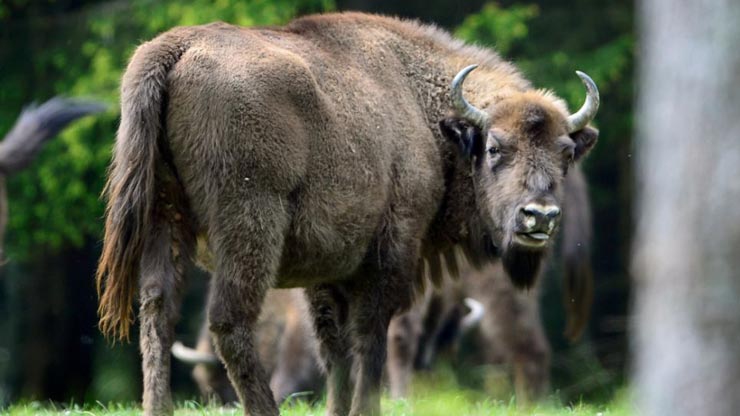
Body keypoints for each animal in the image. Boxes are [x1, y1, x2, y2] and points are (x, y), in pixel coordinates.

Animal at [96, 12, 598, 416]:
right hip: (249, 224)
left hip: (163, 219)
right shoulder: (391, 252)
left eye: (566, 152)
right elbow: (370, 339)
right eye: (495, 147)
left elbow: (335, 348)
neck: (426, 116)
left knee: (157, 312)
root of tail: (173, 49)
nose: (540, 216)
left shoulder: (327, 271)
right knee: (229, 322)